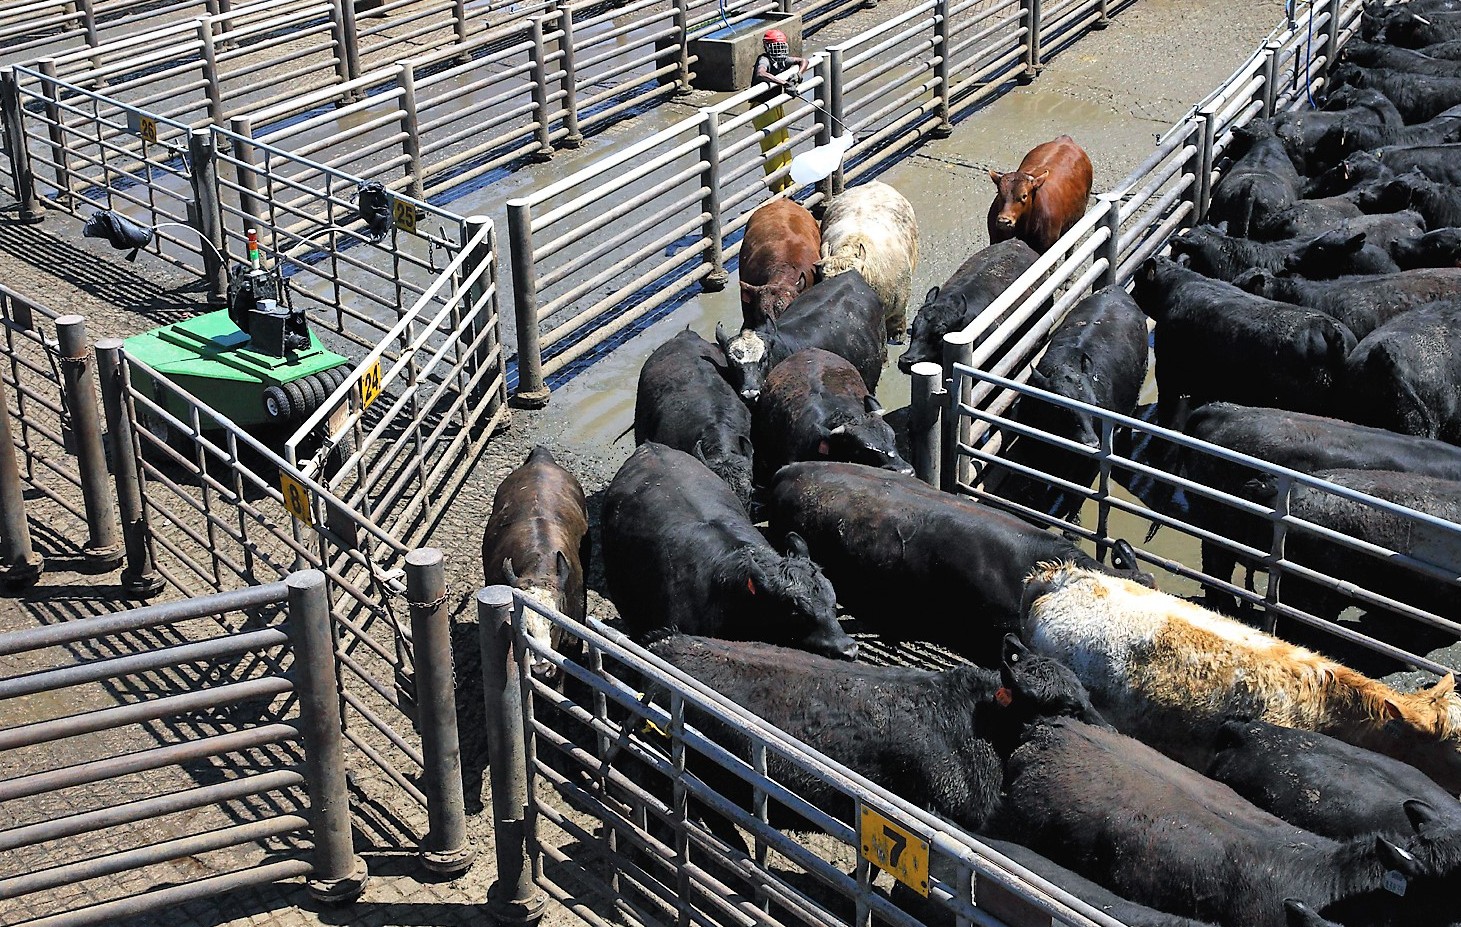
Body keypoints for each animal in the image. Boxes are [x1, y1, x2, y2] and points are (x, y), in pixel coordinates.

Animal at [984, 285, 1149, 521]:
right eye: (1059, 407)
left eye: (1094, 403)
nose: (1092, 443)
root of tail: (1116, 289)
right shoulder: (1032, 453)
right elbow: (1038, 489)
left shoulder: (1089, 466)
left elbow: (1076, 495)